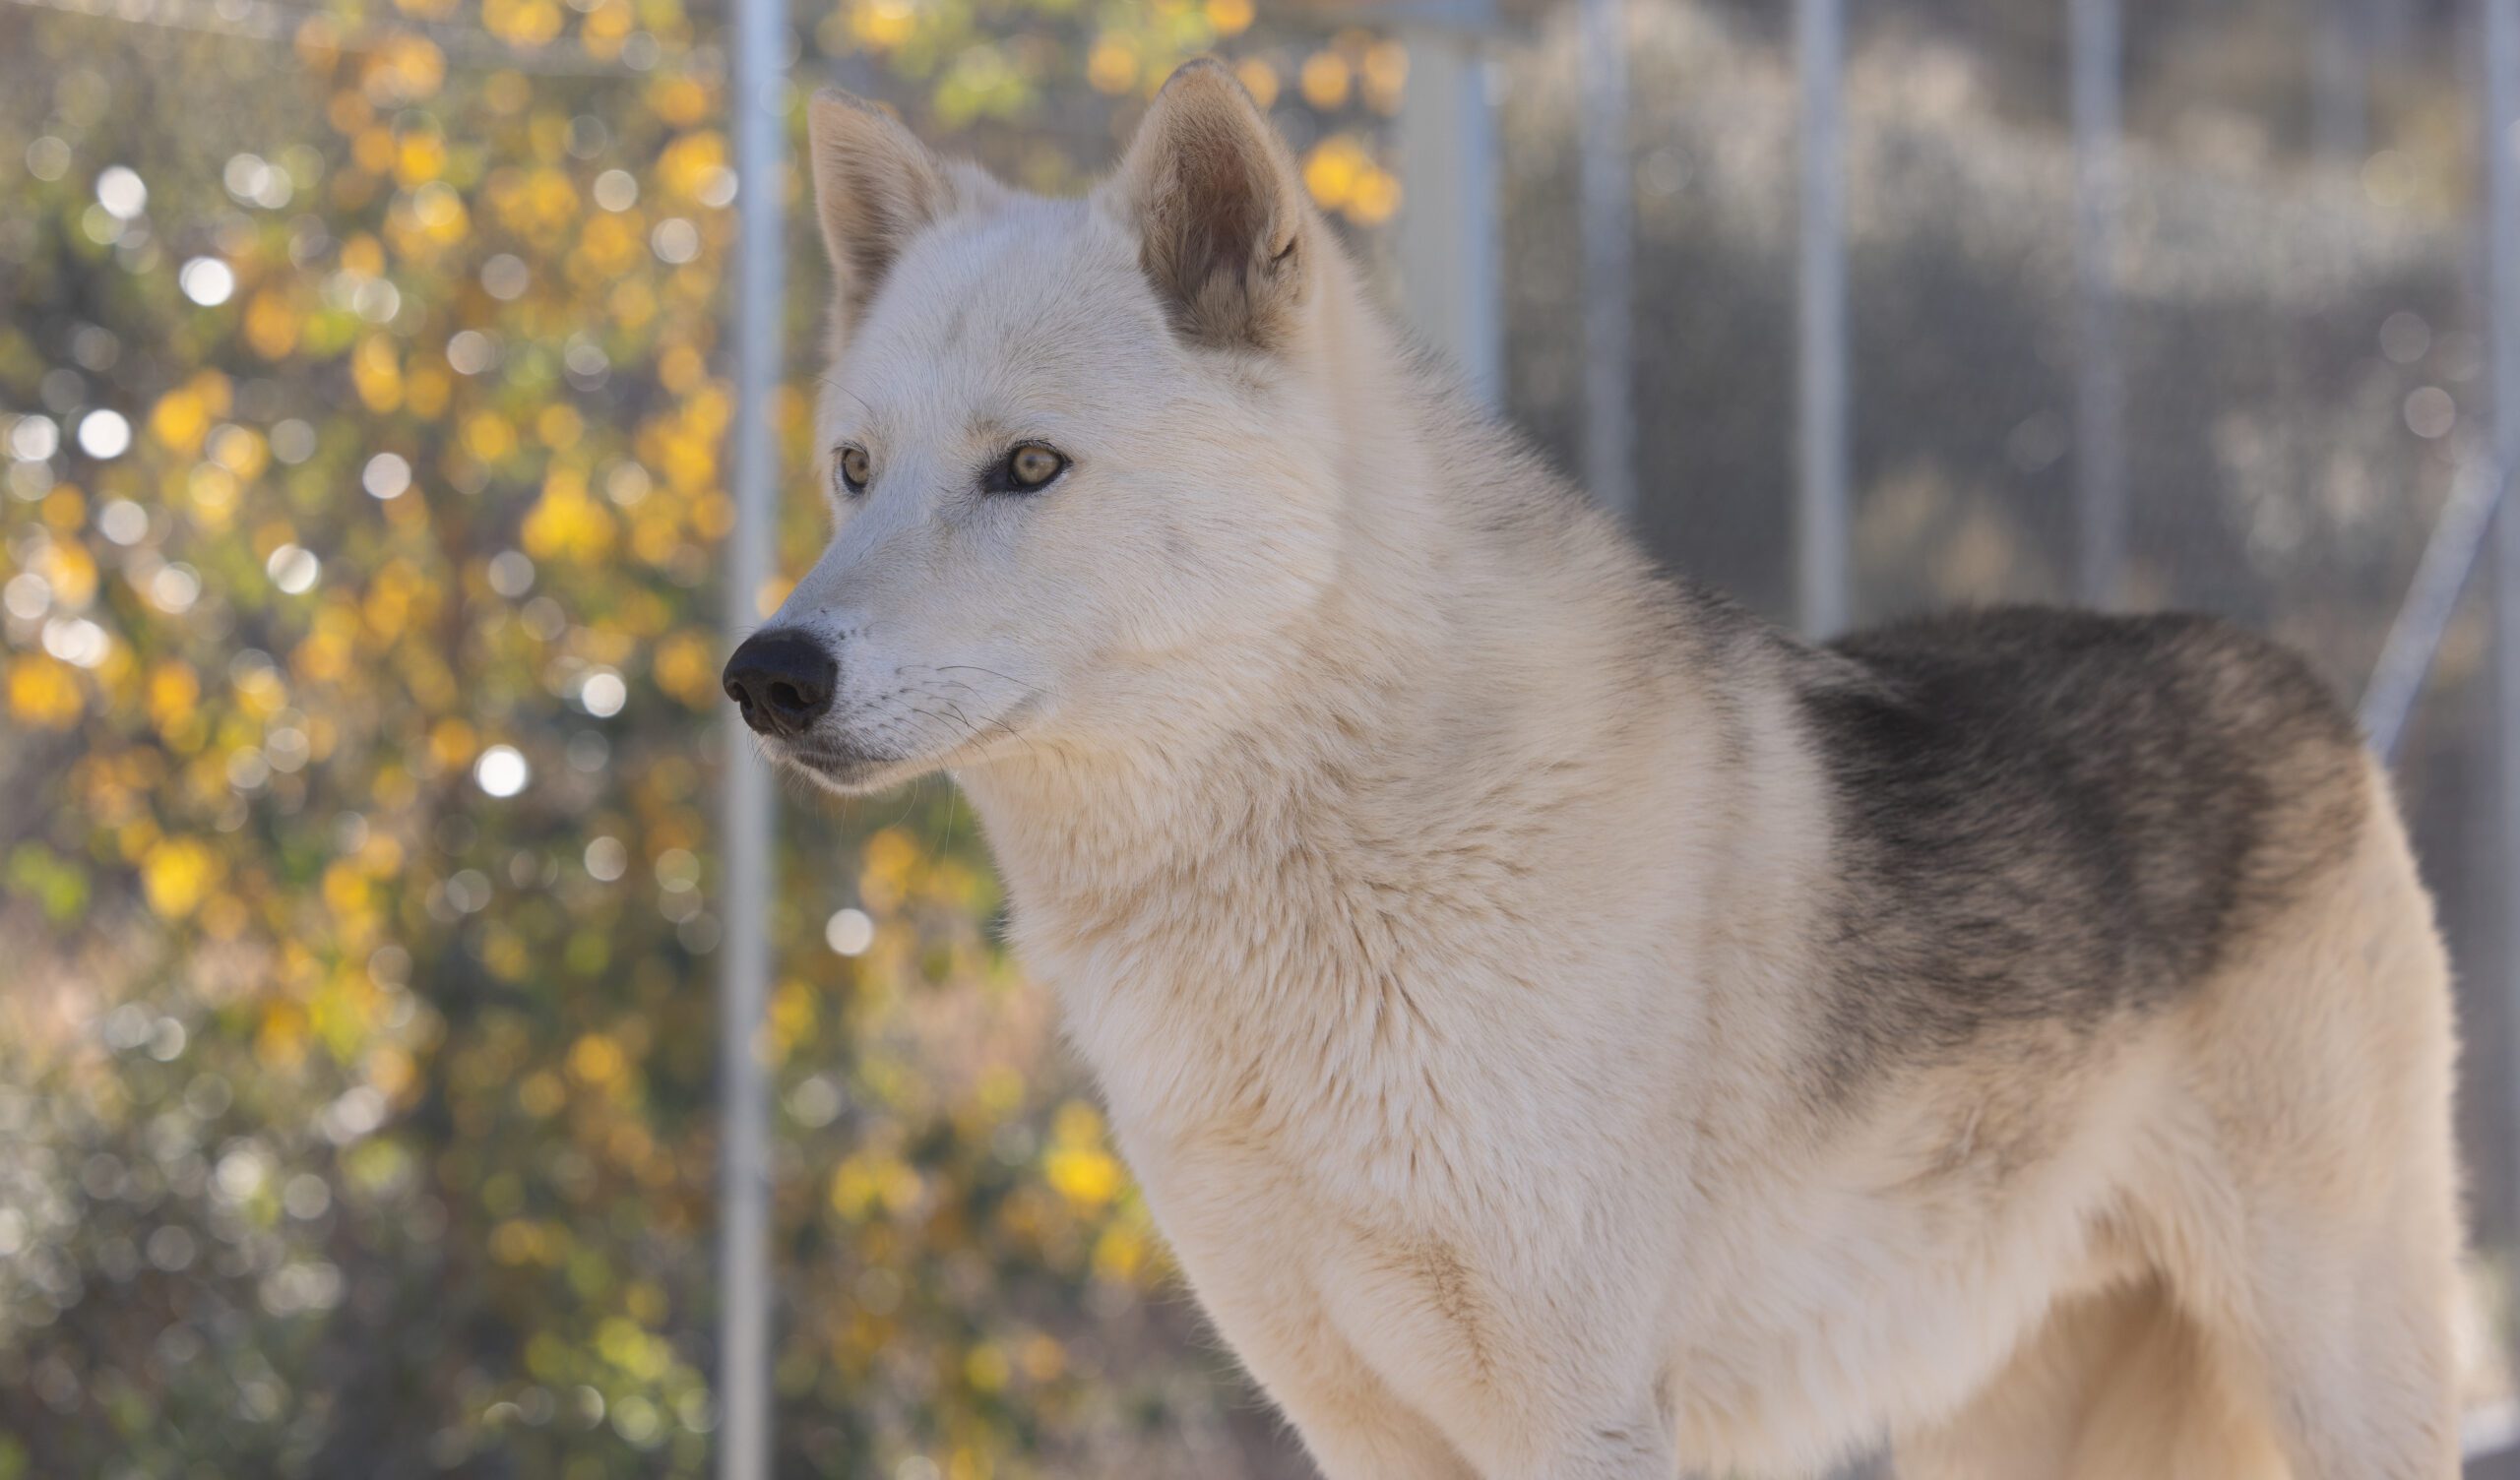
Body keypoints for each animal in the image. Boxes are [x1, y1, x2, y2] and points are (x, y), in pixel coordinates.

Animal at [722, 60, 2464, 1479]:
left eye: (1028, 467)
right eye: (854, 472)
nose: (769, 676)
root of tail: (2294, 676)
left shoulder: (1577, 1415)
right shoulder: (1354, 1422)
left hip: (2338, 1374)